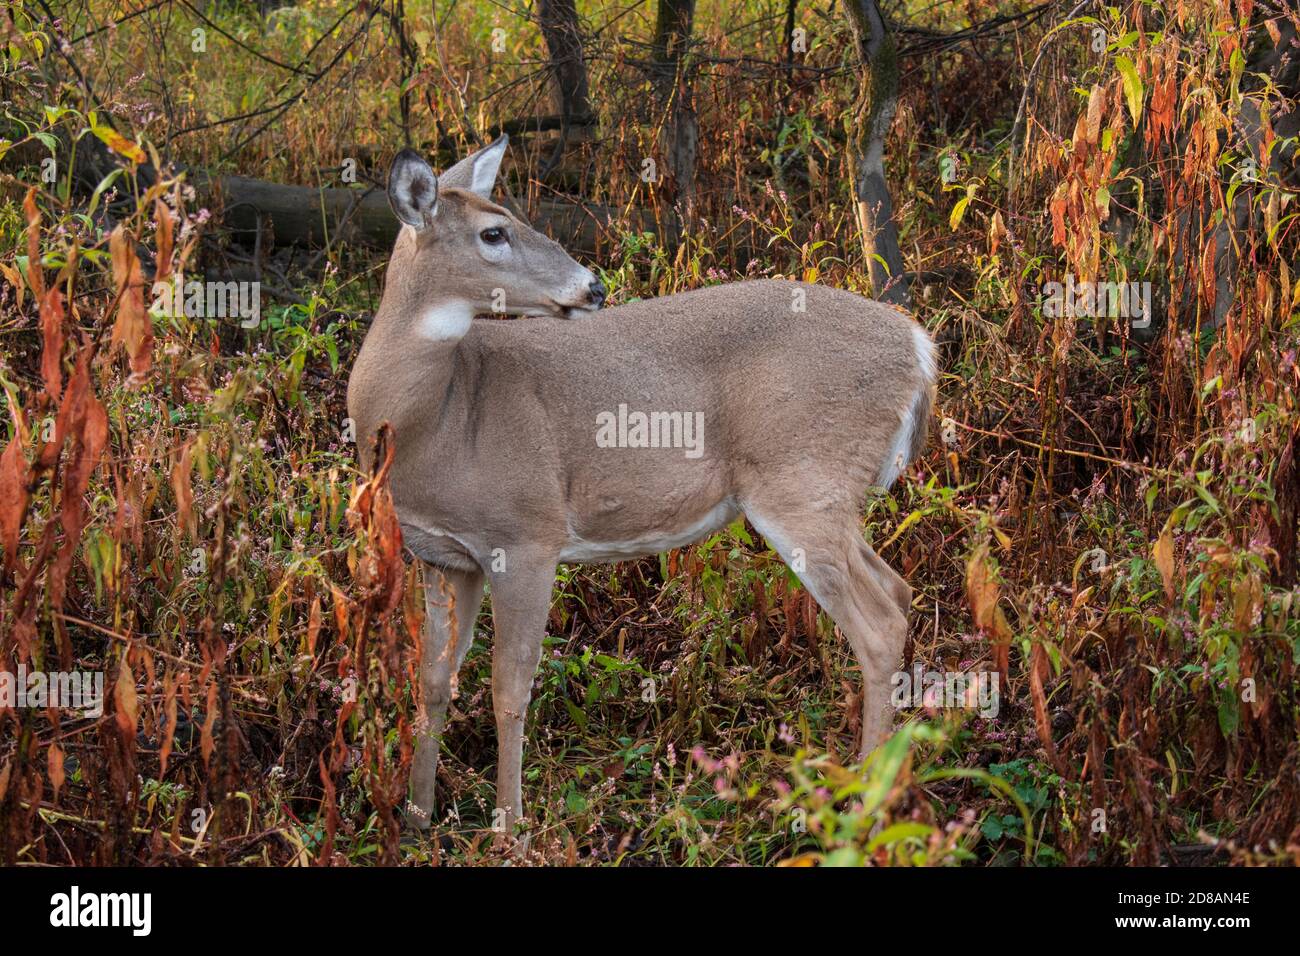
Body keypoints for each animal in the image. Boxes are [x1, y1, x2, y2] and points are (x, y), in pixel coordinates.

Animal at [346, 137, 938, 836]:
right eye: (494, 231)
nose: (595, 286)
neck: (437, 420)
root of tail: (919, 346)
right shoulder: (443, 556)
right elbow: (433, 681)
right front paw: (416, 815)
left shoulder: (526, 534)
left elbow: (508, 688)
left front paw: (509, 828)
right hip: (829, 496)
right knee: (898, 590)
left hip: (800, 480)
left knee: (877, 625)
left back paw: (864, 806)